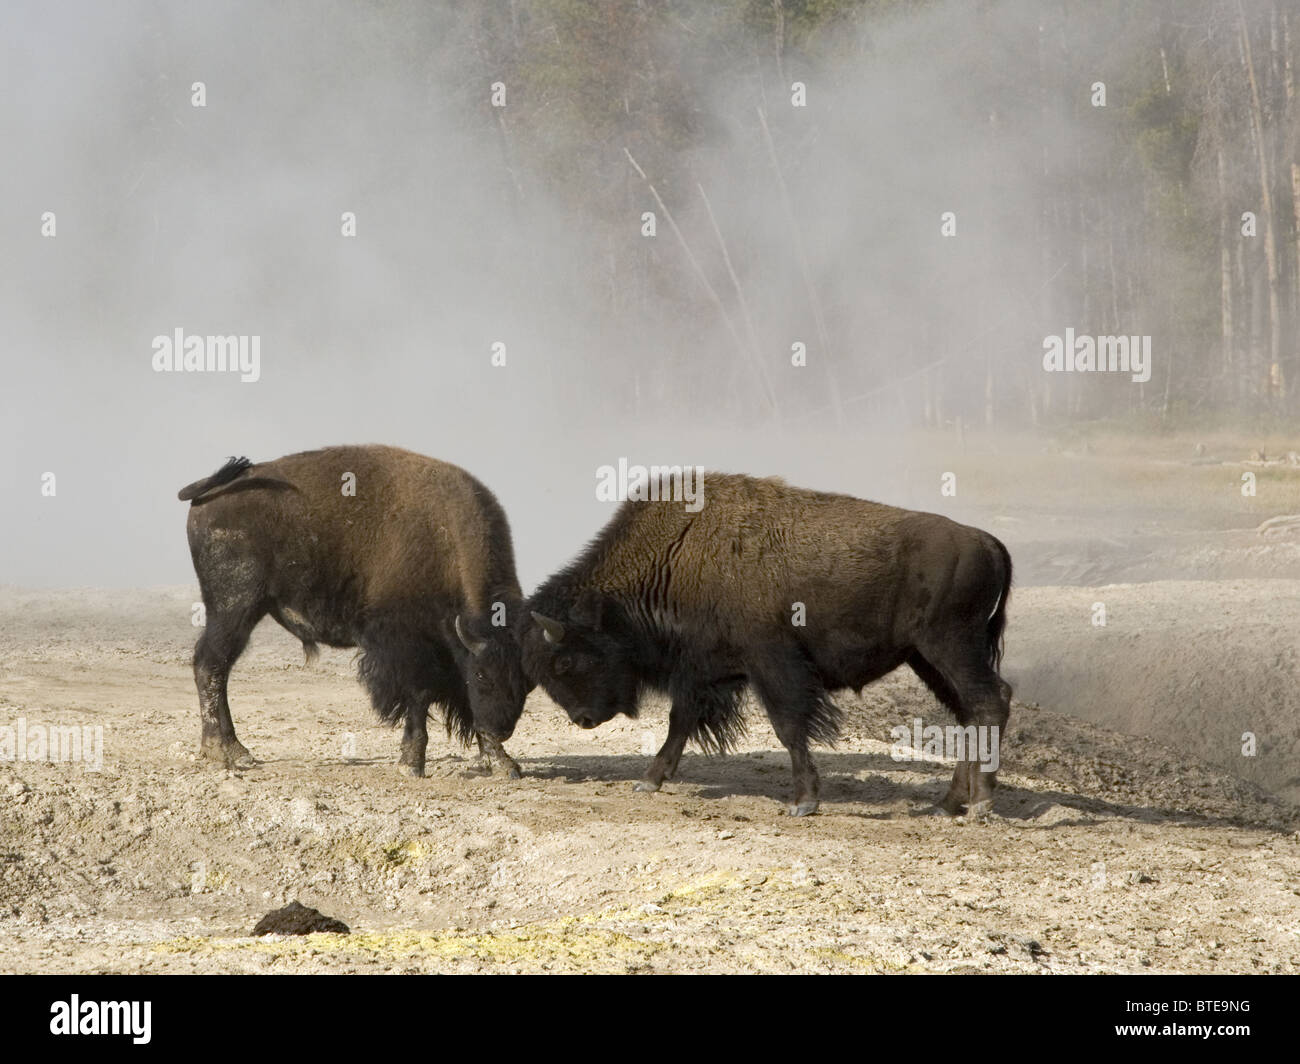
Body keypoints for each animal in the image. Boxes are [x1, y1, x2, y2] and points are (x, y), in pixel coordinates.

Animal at [179, 445, 530, 777]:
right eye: (482, 674)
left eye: (527, 681)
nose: (502, 727)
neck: (447, 541)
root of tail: (209, 492)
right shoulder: (409, 648)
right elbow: (419, 698)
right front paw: (411, 764)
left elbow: (464, 703)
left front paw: (504, 764)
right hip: (234, 607)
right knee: (211, 664)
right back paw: (228, 752)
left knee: (214, 666)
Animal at [521, 473, 1012, 817]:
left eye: (564, 661)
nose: (583, 720)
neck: (677, 555)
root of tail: (987, 541)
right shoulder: (701, 672)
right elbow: (680, 723)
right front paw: (650, 780)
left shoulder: (771, 664)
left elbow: (788, 727)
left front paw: (804, 801)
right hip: (926, 659)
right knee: (971, 713)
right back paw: (947, 805)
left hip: (949, 647)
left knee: (989, 701)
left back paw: (980, 804)